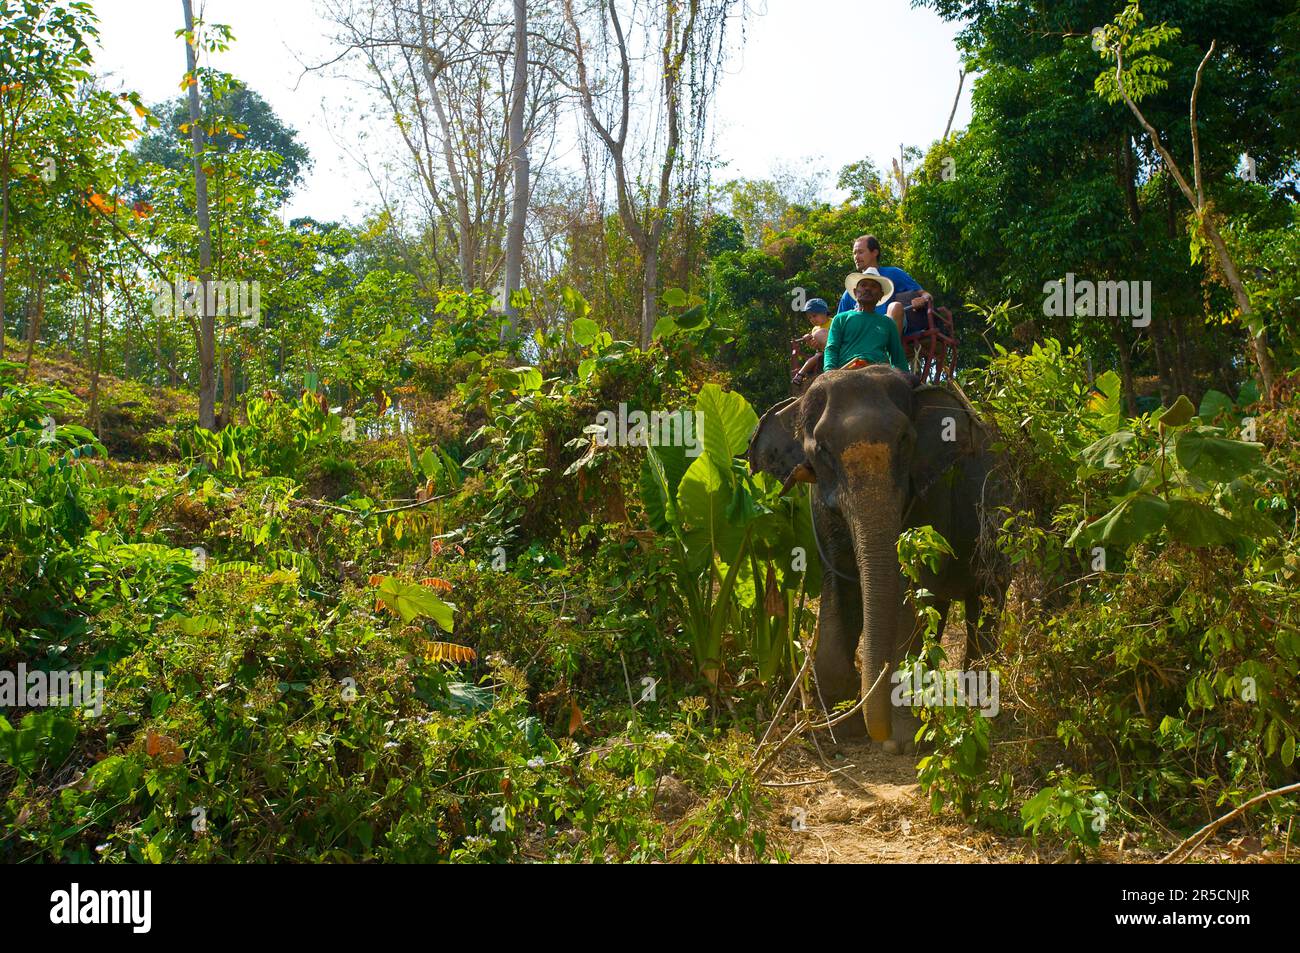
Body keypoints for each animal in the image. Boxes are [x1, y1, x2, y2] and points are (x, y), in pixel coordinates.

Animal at [747, 364, 1009, 752]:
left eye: (904, 439)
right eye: (822, 449)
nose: (880, 735)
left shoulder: (930, 493)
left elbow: (908, 589)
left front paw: (903, 739)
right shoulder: (819, 508)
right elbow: (840, 587)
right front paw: (841, 729)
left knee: (986, 599)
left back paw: (977, 705)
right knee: (944, 604)